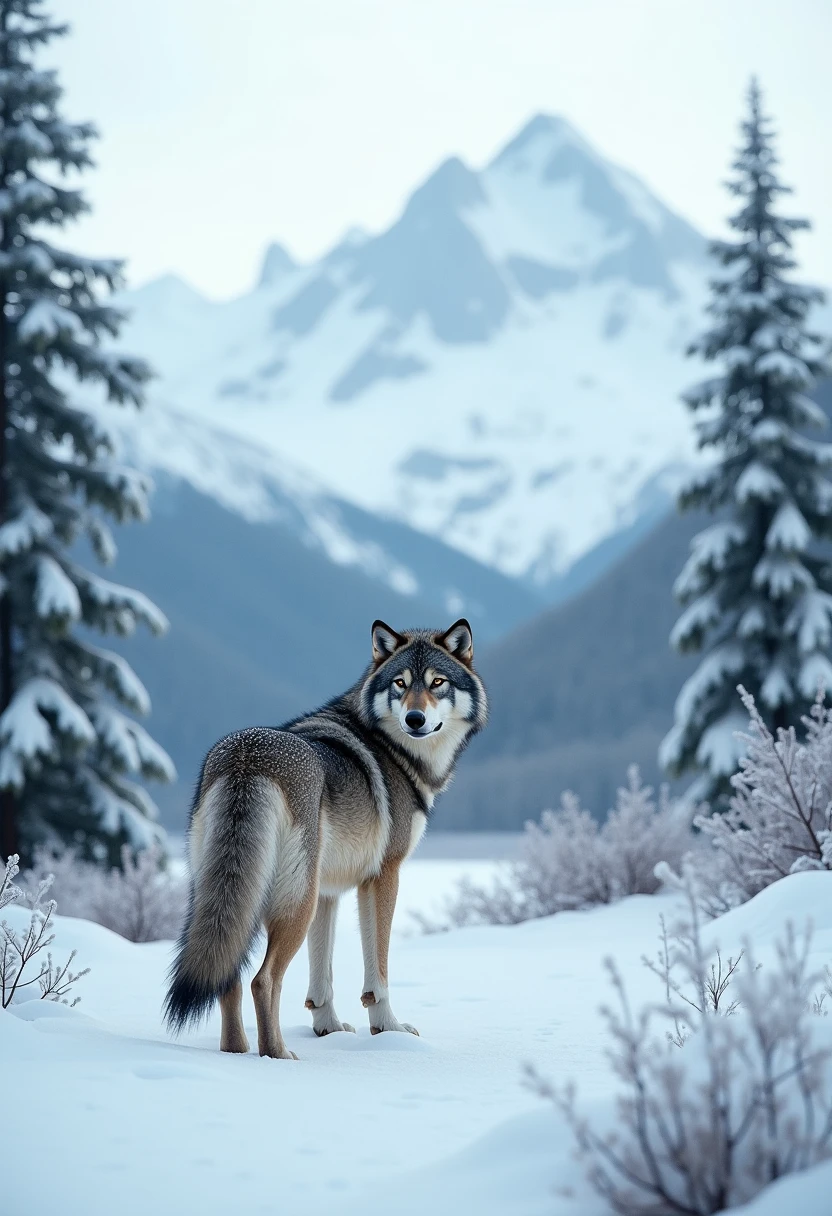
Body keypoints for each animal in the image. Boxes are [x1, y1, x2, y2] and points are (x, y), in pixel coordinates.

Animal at [164, 618, 487, 1058]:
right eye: (400, 684)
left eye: (437, 682)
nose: (415, 719)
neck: (395, 750)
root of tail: (246, 759)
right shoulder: (383, 876)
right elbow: (378, 973)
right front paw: (389, 1030)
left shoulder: (329, 892)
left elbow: (322, 977)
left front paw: (328, 1029)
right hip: (295, 903)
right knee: (263, 981)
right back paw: (278, 1054)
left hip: (231, 899)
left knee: (229, 978)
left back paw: (236, 1052)